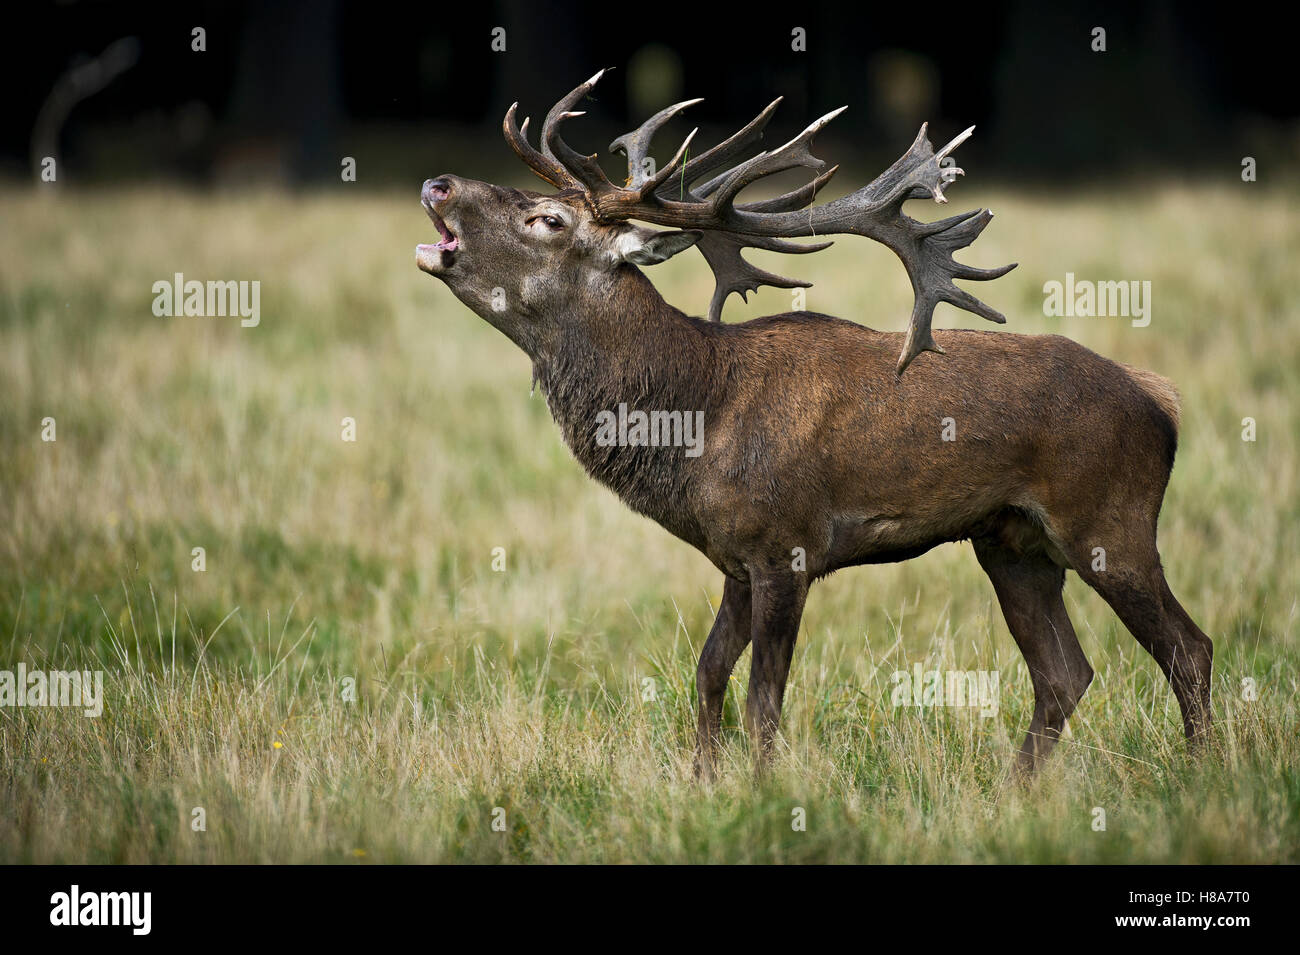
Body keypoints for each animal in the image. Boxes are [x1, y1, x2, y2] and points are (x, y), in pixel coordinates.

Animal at [415, 71, 1213, 780]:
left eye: (548, 219)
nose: (439, 184)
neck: (698, 418)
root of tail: (1161, 399)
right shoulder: (735, 559)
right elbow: (707, 674)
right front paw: (702, 782)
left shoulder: (787, 545)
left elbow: (765, 698)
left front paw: (764, 790)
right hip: (1012, 544)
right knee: (1065, 672)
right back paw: (1014, 790)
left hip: (1108, 518)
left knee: (1188, 648)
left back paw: (1201, 775)